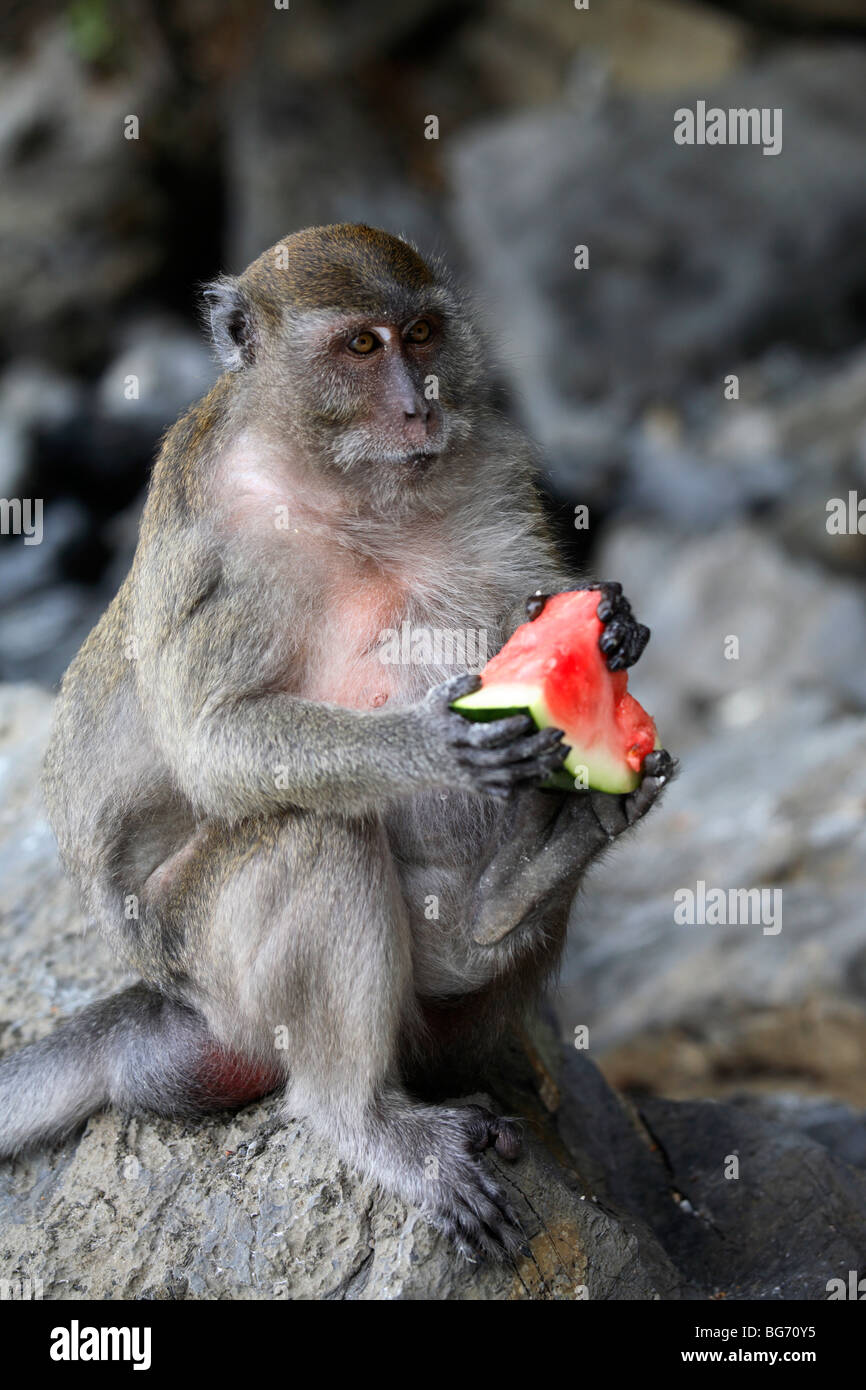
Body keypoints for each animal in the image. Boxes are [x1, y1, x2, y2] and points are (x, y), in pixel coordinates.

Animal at [0, 225, 674, 1261]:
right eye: (362, 347)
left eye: (424, 334)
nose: (417, 401)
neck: (344, 482)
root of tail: (176, 1004)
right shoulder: (218, 534)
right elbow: (213, 741)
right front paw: (430, 743)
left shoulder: (484, 461)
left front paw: (609, 627)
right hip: (213, 967)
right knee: (310, 838)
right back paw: (364, 1119)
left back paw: (518, 891)